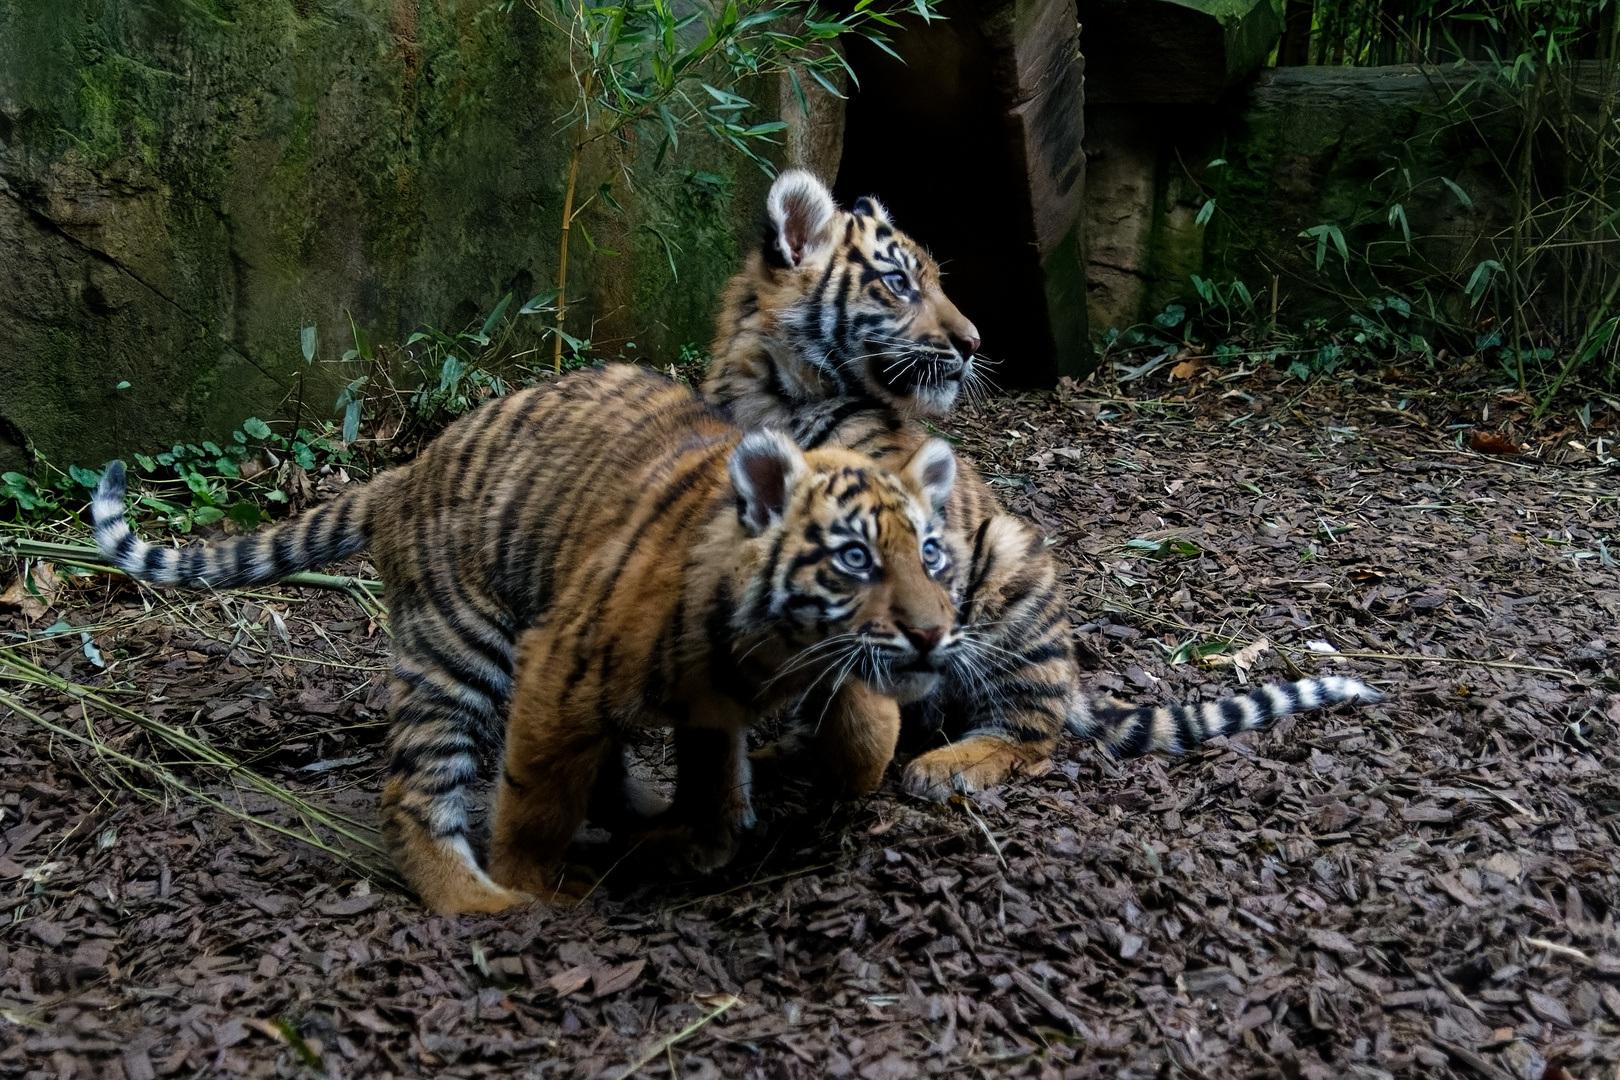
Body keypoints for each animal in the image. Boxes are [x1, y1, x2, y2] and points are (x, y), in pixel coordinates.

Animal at [92, 364, 964, 914]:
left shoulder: (734, 696)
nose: (932, 633)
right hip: (462, 651)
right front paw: (535, 885)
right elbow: (539, 794)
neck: (776, 654)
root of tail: (404, 474)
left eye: (930, 553)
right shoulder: (562, 666)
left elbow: (851, 725)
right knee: (414, 791)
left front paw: (828, 779)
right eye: (854, 559)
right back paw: (478, 903)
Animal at [703, 170, 1383, 796]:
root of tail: (1072, 680)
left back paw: (944, 767)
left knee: (1032, 735)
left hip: (1010, 565)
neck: (779, 391)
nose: (973, 343)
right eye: (899, 284)